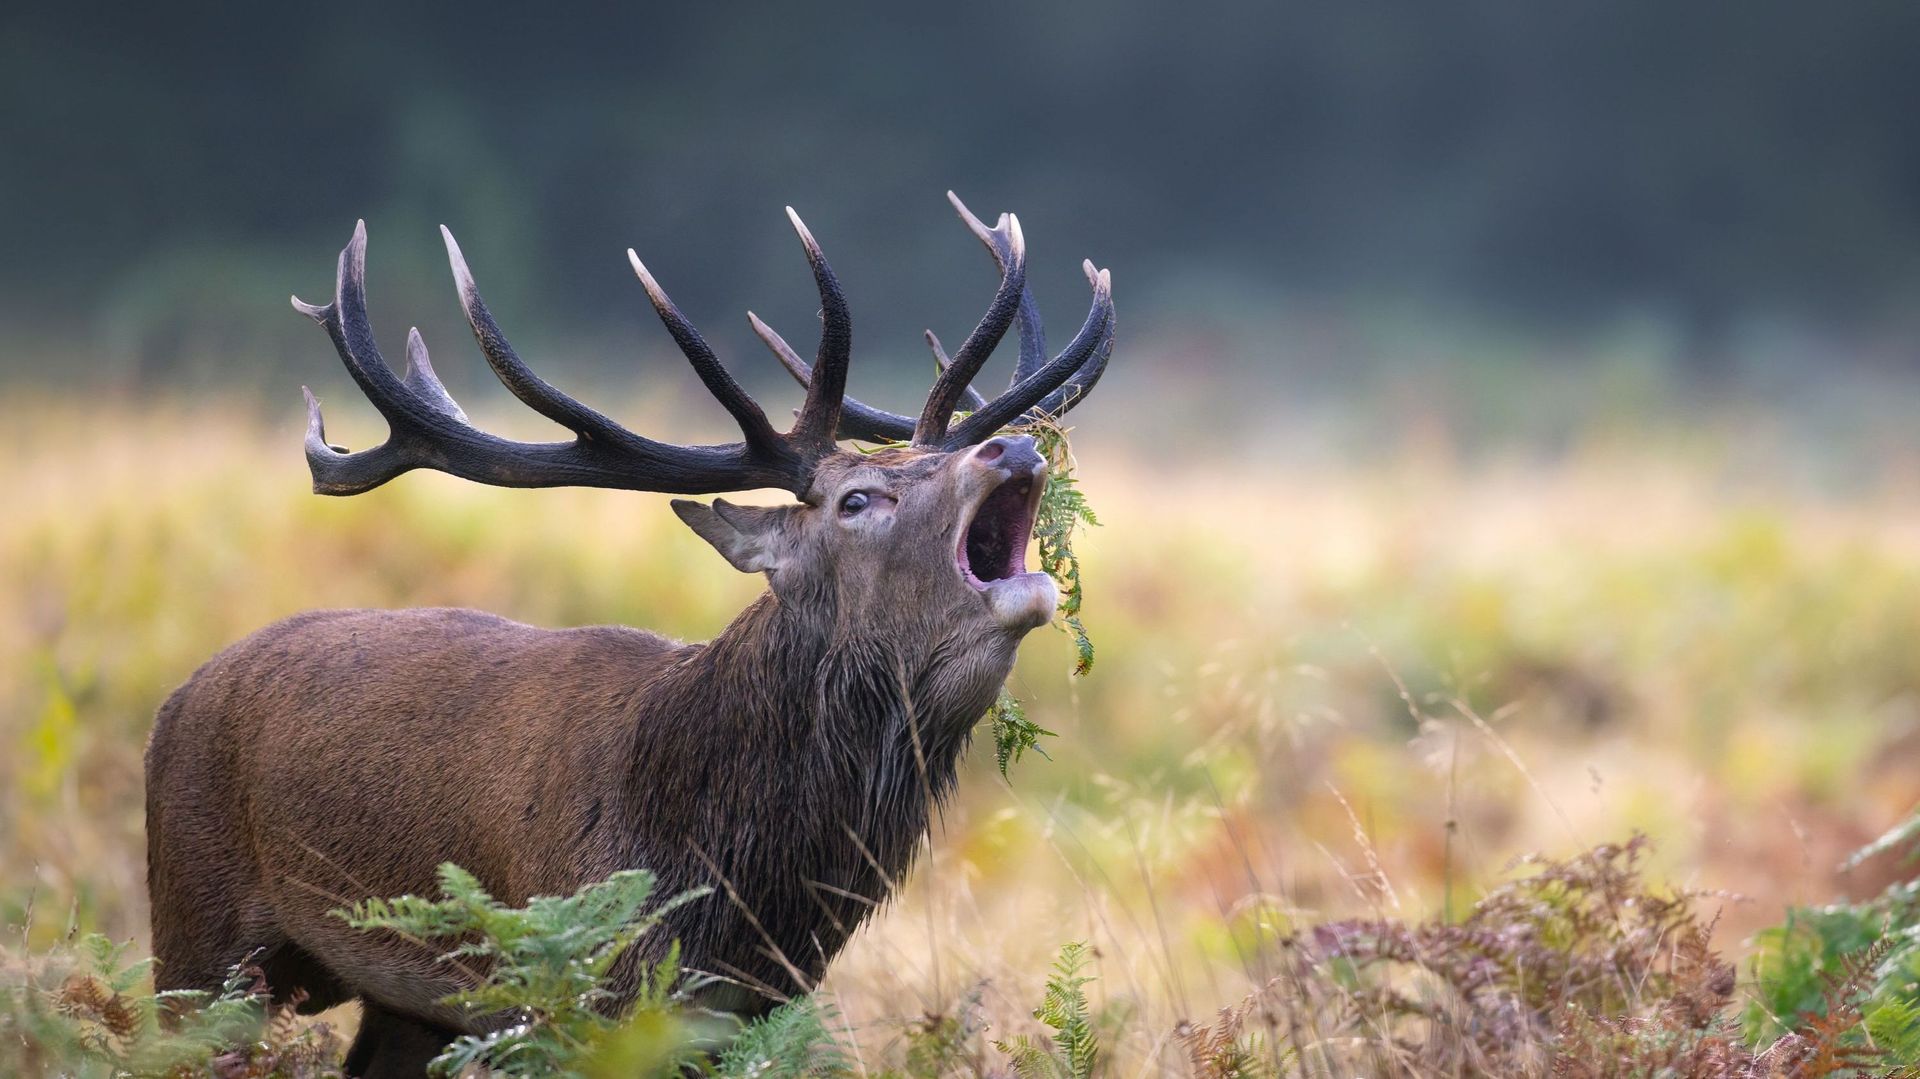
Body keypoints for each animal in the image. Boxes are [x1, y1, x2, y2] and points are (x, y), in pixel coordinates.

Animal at [143, 193, 1113, 1077]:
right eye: (858, 499)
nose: (1010, 449)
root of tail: (176, 700)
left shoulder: (745, 1008)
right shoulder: (585, 989)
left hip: (402, 1007)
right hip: (194, 935)